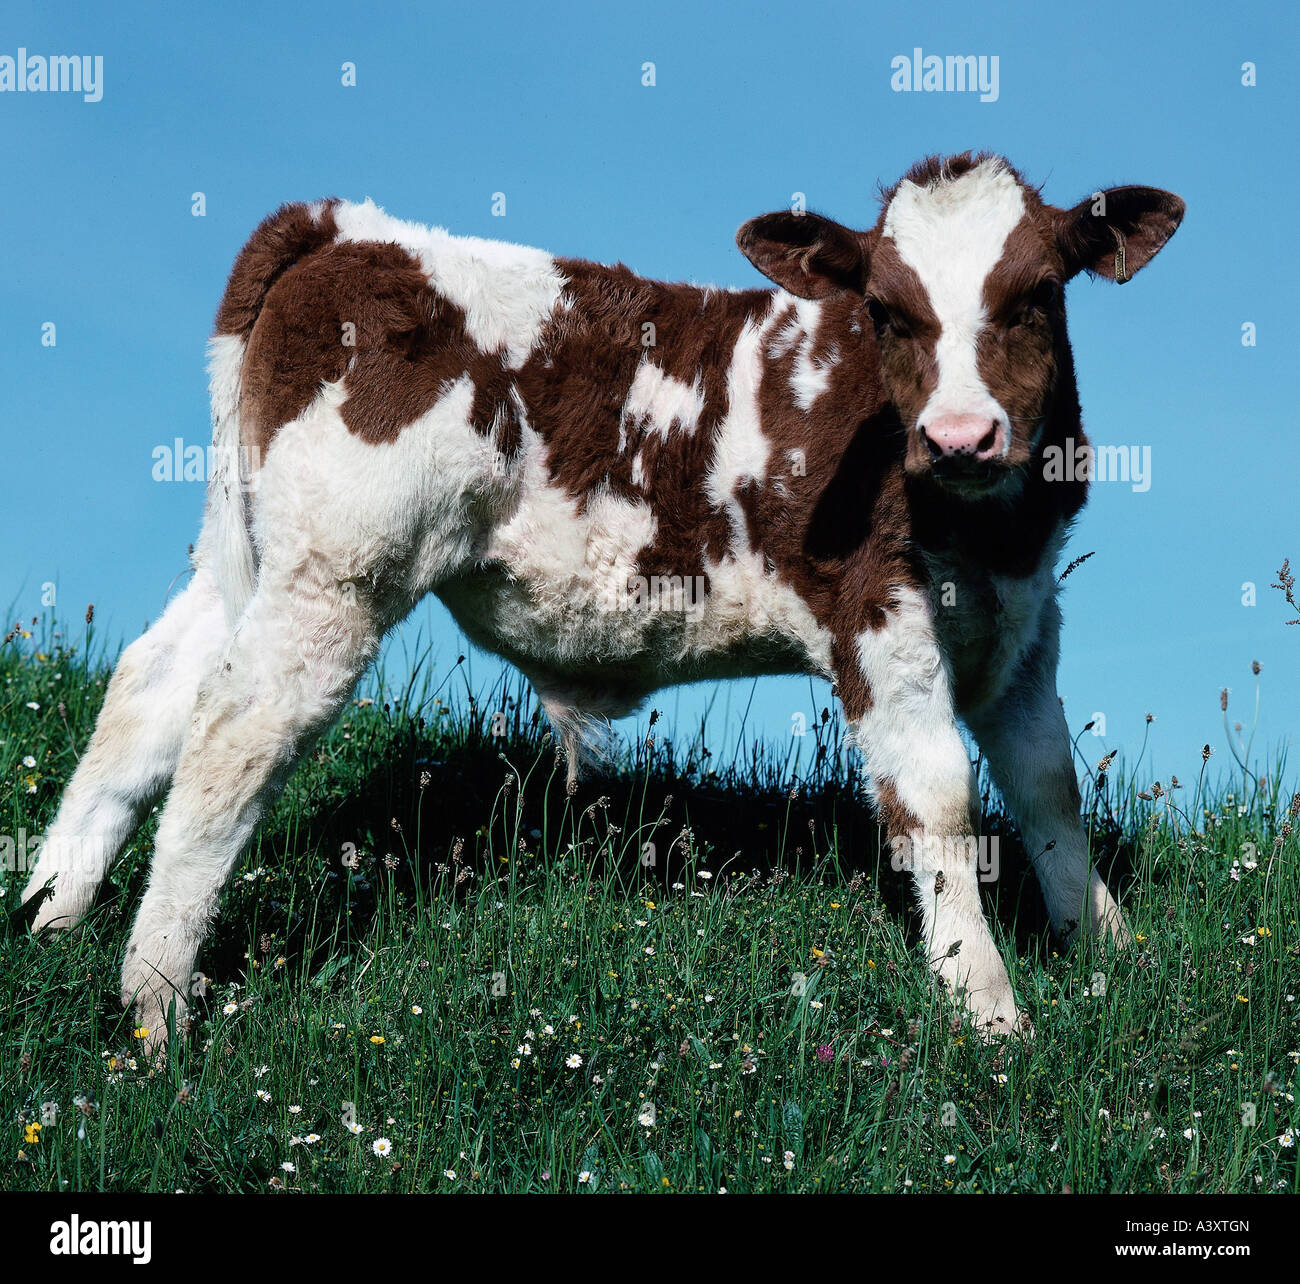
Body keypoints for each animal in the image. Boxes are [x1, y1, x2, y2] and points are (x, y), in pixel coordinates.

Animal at [22, 152, 1184, 1048]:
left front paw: (1113, 953)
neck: (987, 532)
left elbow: (1048, 786)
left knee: (148, 688)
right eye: (889, 314)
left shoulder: (1025, 621)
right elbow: (939, 799)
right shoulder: (877, 612)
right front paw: (992, 1014)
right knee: (234, 733)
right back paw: (155, 1003)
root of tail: (352, 230)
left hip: (258, 554)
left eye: (1035, 296)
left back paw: (51, 915)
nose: (958, 437)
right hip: (337, 569)